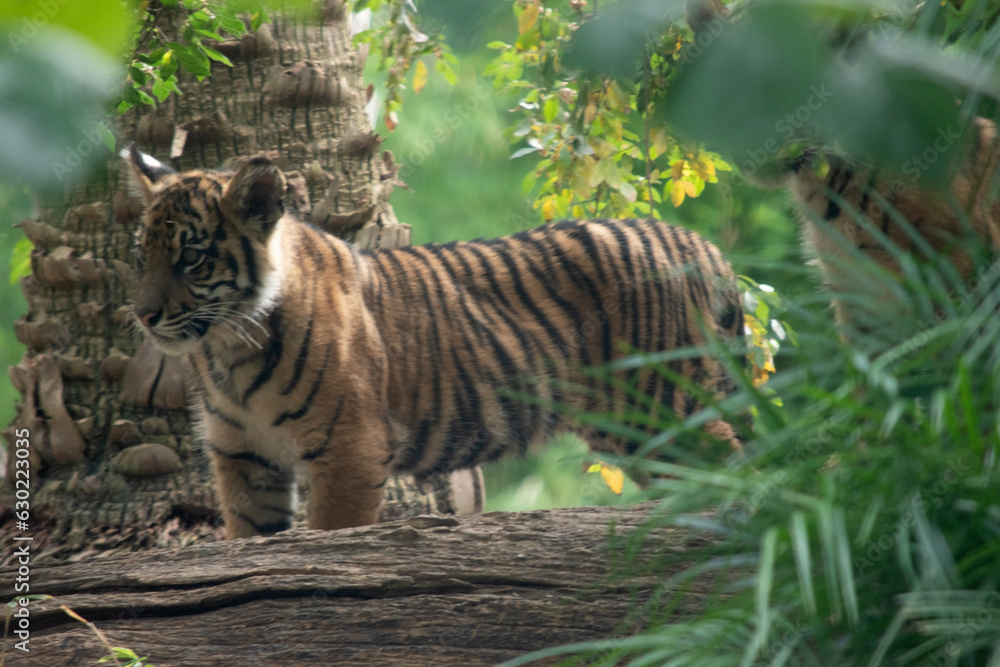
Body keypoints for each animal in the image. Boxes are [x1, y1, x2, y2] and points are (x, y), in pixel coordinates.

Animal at [125, 146, 745, 539]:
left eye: (191, 257)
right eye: (141, 255)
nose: (144, 314)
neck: (227, 348)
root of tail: (697, 242)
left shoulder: (350, 449)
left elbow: (332, 534)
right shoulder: (244, 457)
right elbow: (248, 543)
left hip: (663, 407)